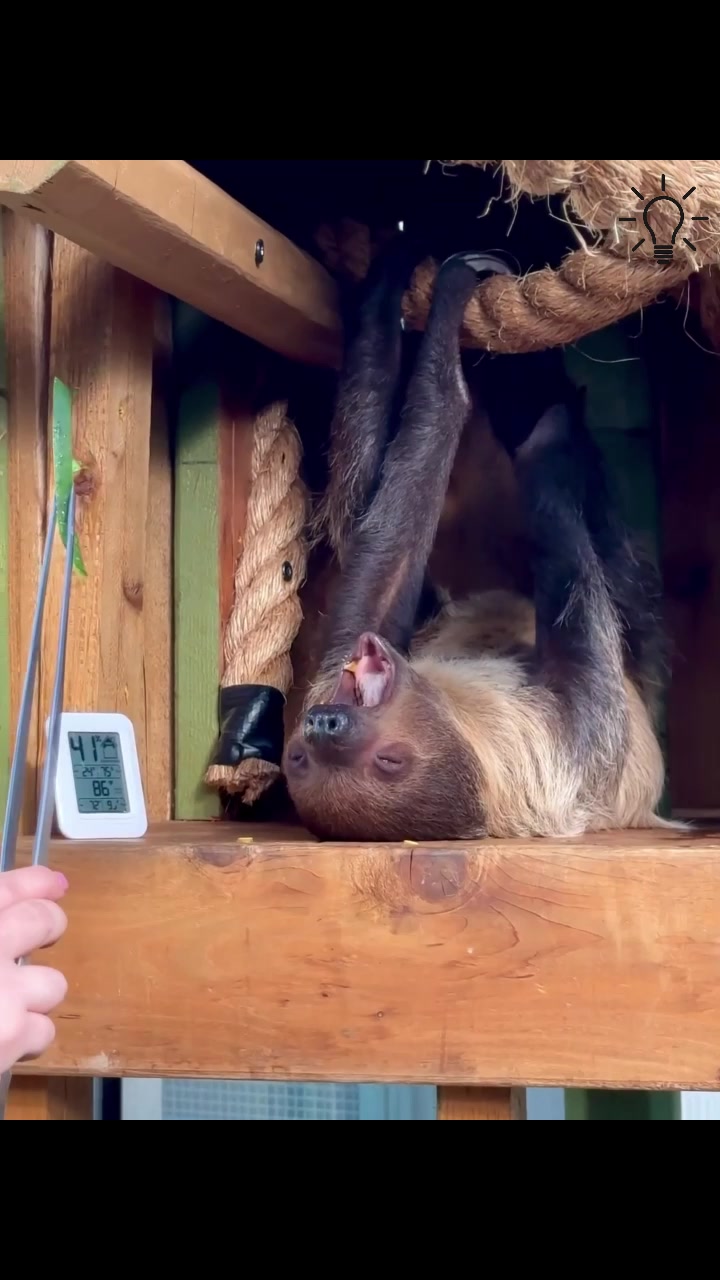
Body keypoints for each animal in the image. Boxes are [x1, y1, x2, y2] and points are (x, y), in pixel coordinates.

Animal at [283, 241, 676, 843]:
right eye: (299, 759)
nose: (325, 722)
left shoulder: (333, 672)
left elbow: (377, 585)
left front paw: (393, 278)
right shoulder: (560, 752)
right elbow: (581, 623)